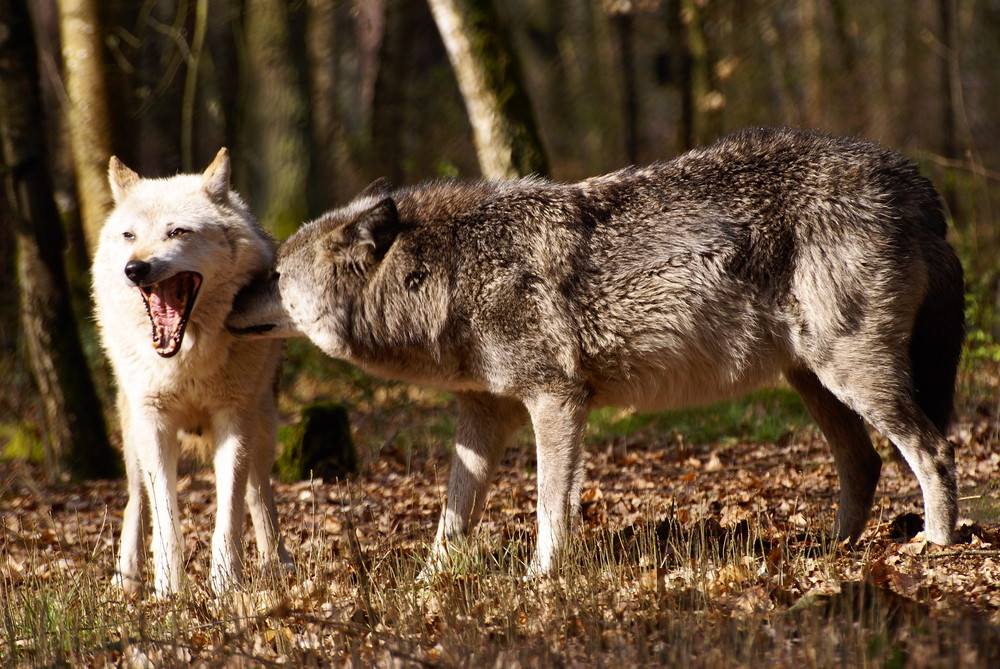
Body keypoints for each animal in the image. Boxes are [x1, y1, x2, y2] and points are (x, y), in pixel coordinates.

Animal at [92, 149, 292, 595]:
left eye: (177, 232)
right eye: (130, 236)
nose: (135, 268)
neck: (186, 362)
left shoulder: (234, 418)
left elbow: (230, 512)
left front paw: (226, 584)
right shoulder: (154, 423)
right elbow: (165, 515)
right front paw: (169, 589)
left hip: (264, 422)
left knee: (259, 491)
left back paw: (278, 563)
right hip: (131, 430)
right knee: (136, 500)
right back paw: (127, 579)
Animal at [226, 128, 965, 575]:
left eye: (274, 275)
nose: (229, 301)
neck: (447, 275)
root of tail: (913, 178)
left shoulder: (556, 399)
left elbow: (551, 504)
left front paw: (542, 576)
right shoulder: (482, 413)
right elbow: (453, 512)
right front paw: (432, 578)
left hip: (852, 375)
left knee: (934, 450)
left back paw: (936, 543)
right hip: (813, 382)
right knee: (865, 464)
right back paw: (829, 553)